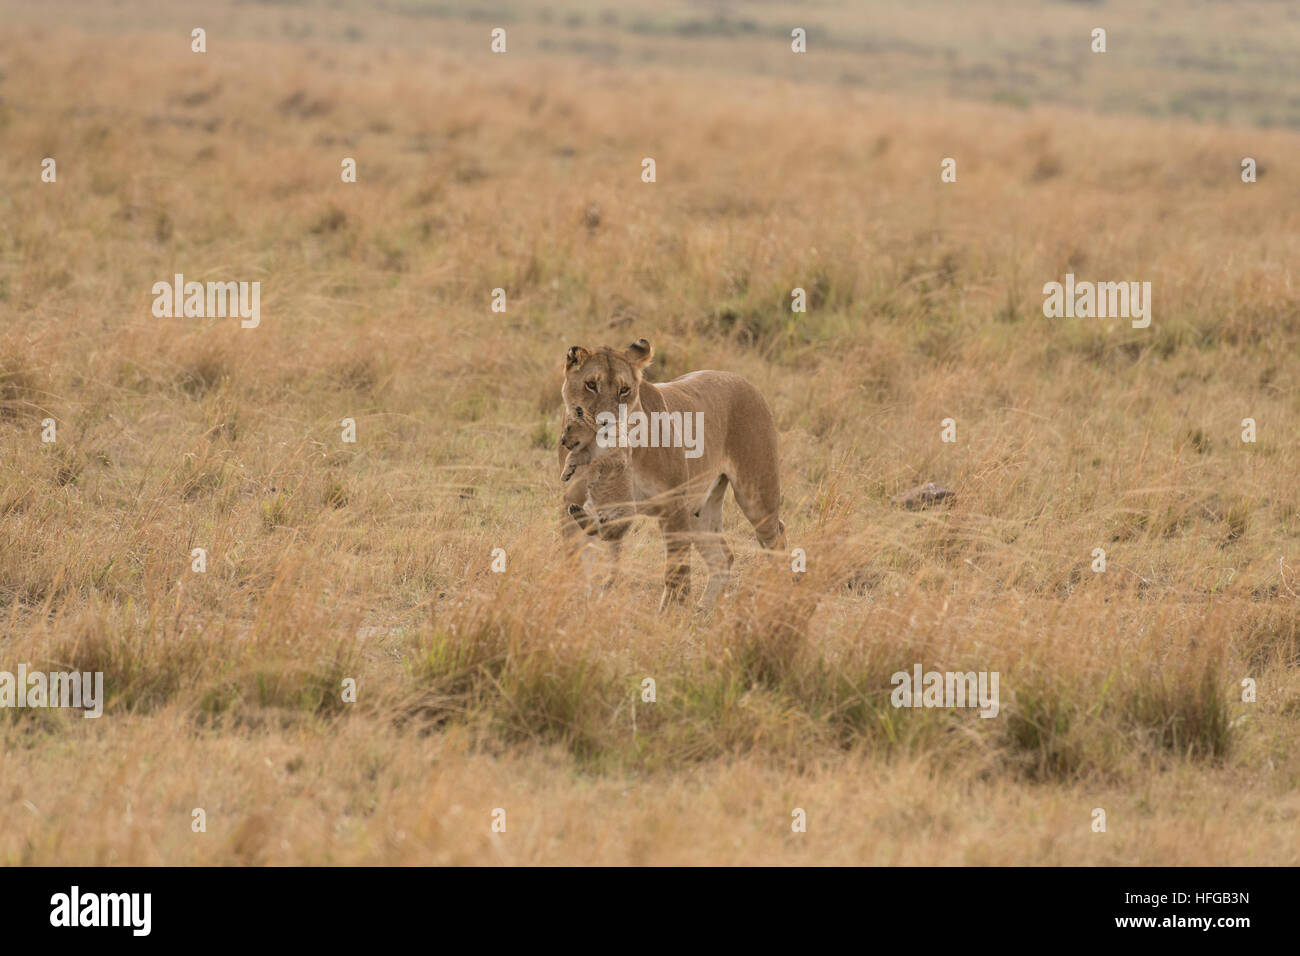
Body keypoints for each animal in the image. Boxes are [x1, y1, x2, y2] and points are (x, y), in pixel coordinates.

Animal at [558, 338, 788, 611]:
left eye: (624, 390)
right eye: (591, 385)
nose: (608, 422)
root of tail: (743, 380)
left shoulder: (673, 504)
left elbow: (676, 571)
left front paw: (670, 613)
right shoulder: (573, 498)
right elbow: (575, 556)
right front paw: (573, 601)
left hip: (756, 496)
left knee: (777, 539)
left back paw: (779, 597)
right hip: (700, 510)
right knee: (722, 556)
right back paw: (703, 611)